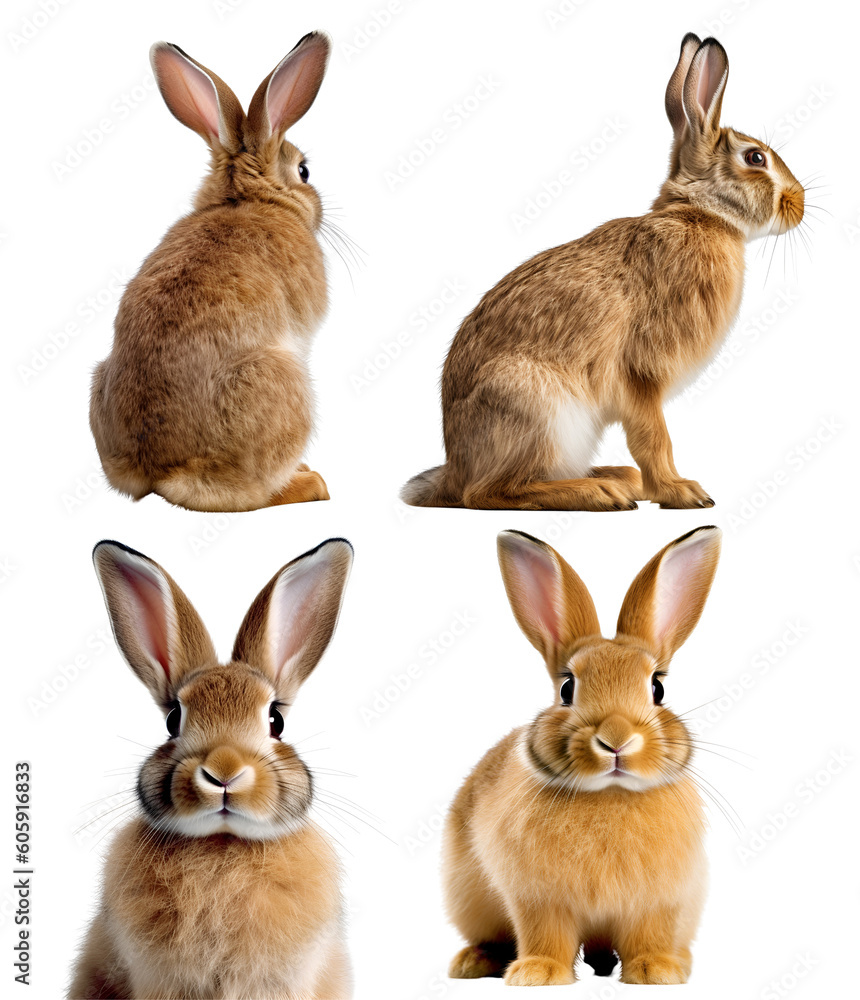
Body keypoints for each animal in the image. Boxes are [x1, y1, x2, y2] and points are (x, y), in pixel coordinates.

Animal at [90, 33, 336, 512]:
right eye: (303, 170)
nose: (318, 205)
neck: (247, 197)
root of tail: (163, 471)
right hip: (284, 385)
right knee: (255, 492)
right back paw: (309, 483)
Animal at [402, 33, 805, 510]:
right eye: (755, 158)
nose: (800, 203)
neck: (701, 216)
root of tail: (456, 466)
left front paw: (665, 488)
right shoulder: (641, 374)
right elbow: (654, 437)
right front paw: (682, 492)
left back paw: (619, 479)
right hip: (540, 411)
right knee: (489, 492)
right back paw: (600, 492)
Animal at [442, 525, 722, 986]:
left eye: (658, 688)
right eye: (567, 688)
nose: (615, 739)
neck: (609, 794)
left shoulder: (658, 900)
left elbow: (649, 933)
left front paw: (655, 971)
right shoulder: (538, 899)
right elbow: (545, 934)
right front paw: (538, 973)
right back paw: (474, 962)